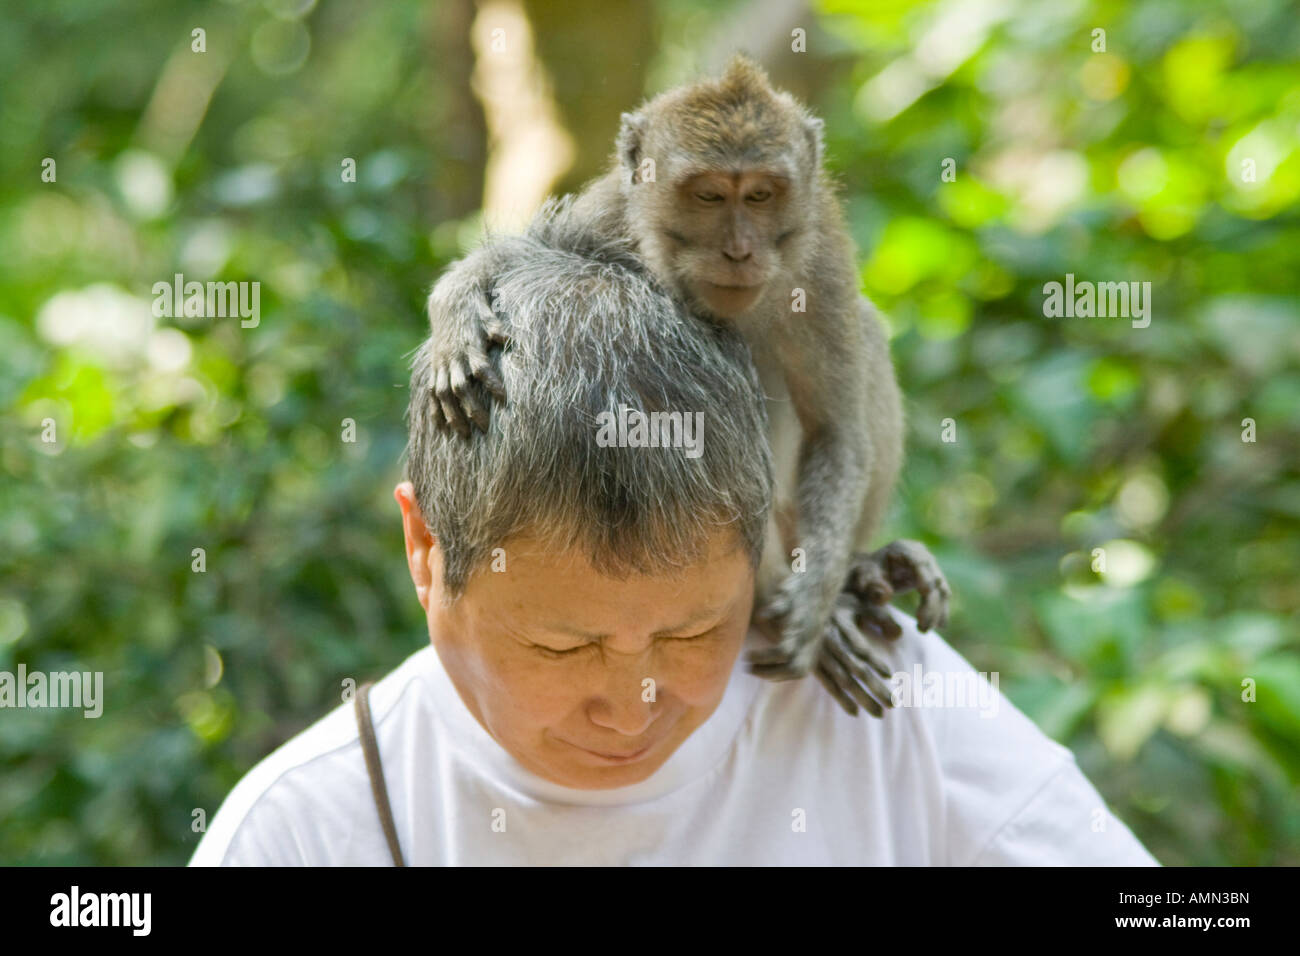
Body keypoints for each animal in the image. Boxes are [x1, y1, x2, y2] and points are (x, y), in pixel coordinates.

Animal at [422, 55, 951, 718]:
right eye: (708, 195)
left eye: (761, 194)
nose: (739, 251)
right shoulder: (614, 215)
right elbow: (539, 250)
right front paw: (456, 308)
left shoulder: (822, 261)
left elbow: (838, 432)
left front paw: (815, 600)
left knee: (867, 334)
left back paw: (864, 569)